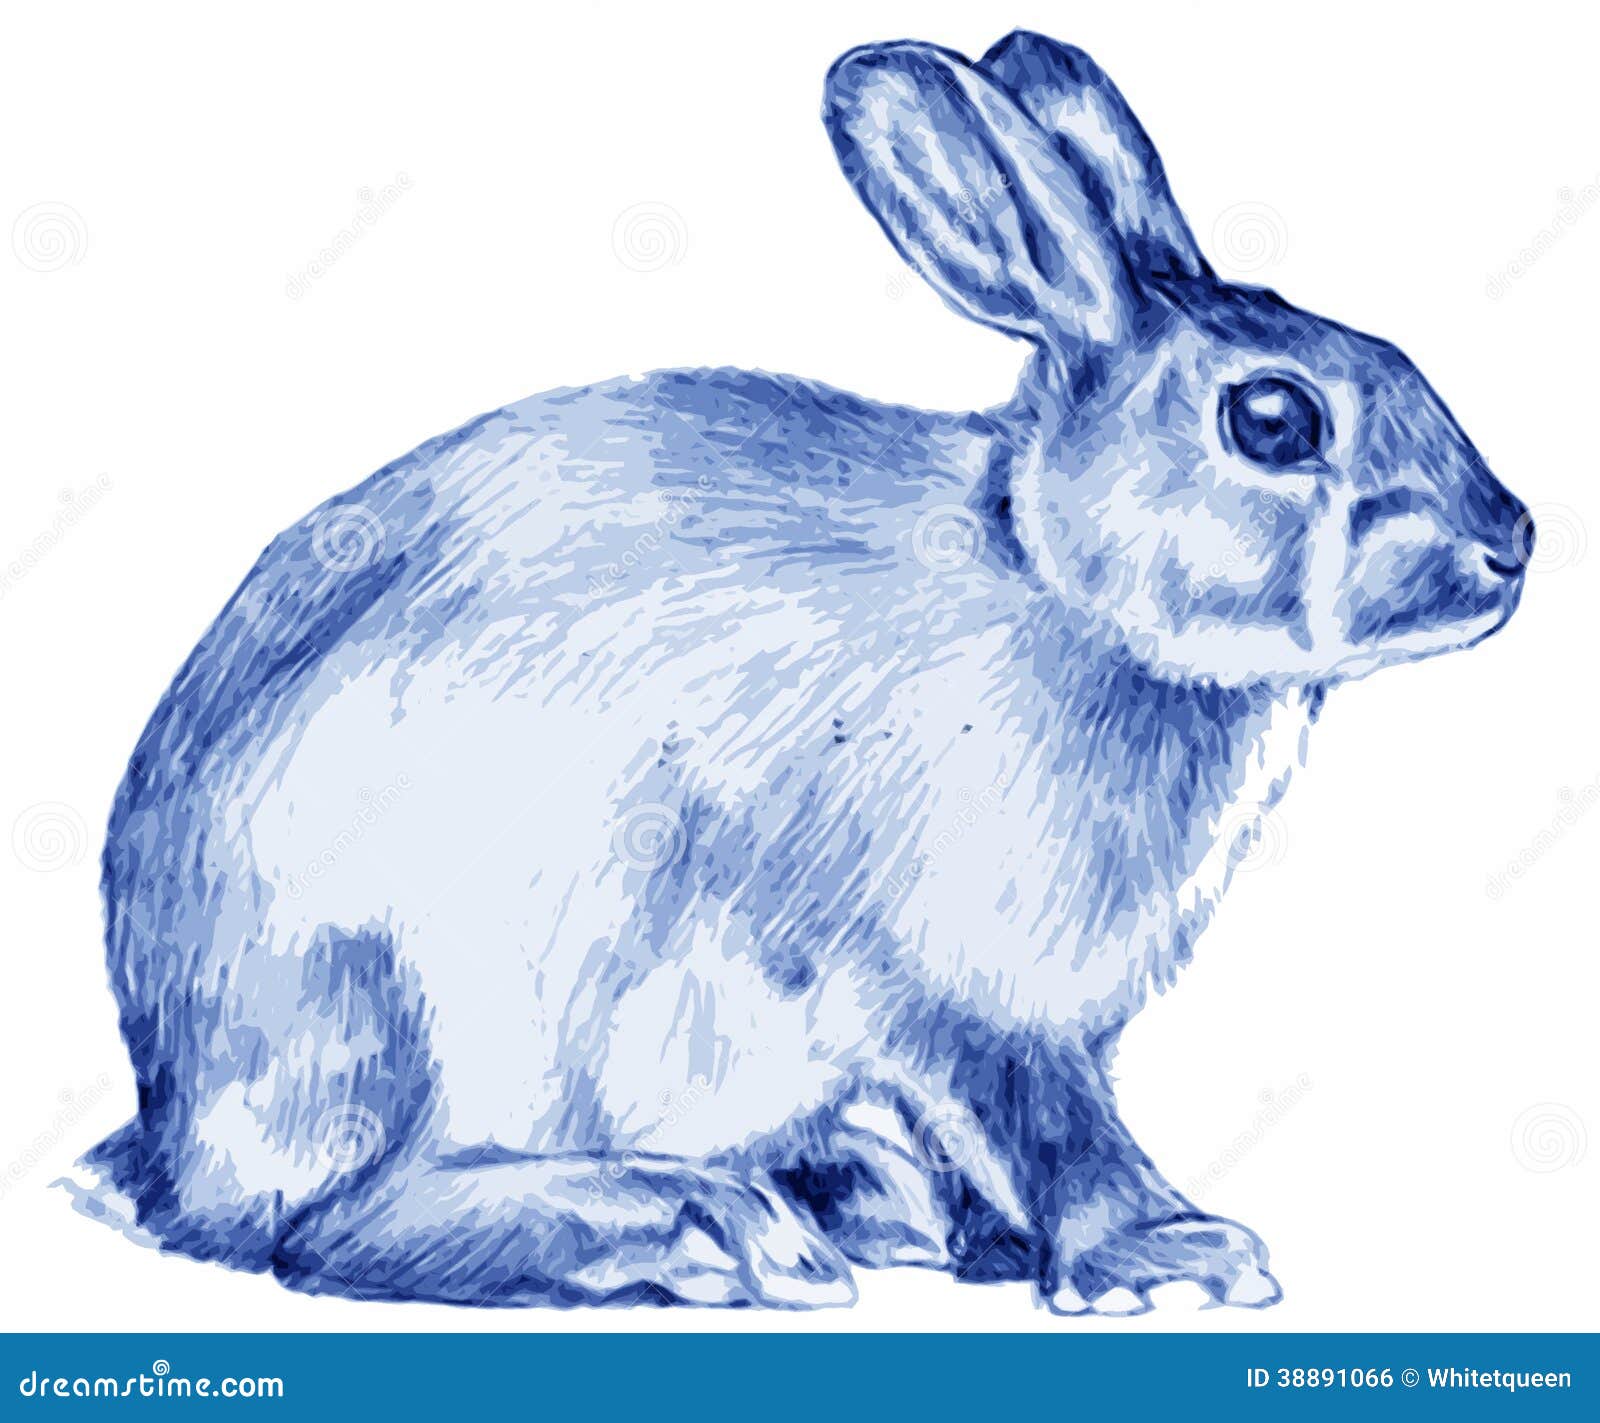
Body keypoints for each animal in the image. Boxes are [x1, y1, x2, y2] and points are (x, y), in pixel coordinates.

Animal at [80, 31, 1531, 1314]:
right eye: (1273, 419)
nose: (1509, 542)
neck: (1055, 579)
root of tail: (177, 1134)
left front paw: (994, 1244)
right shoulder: (961, 985)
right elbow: (1051, 1120)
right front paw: (1172, 1257)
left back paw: (841, 1192)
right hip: (426, 998)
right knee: (334, 1227)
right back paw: (697, 1226)